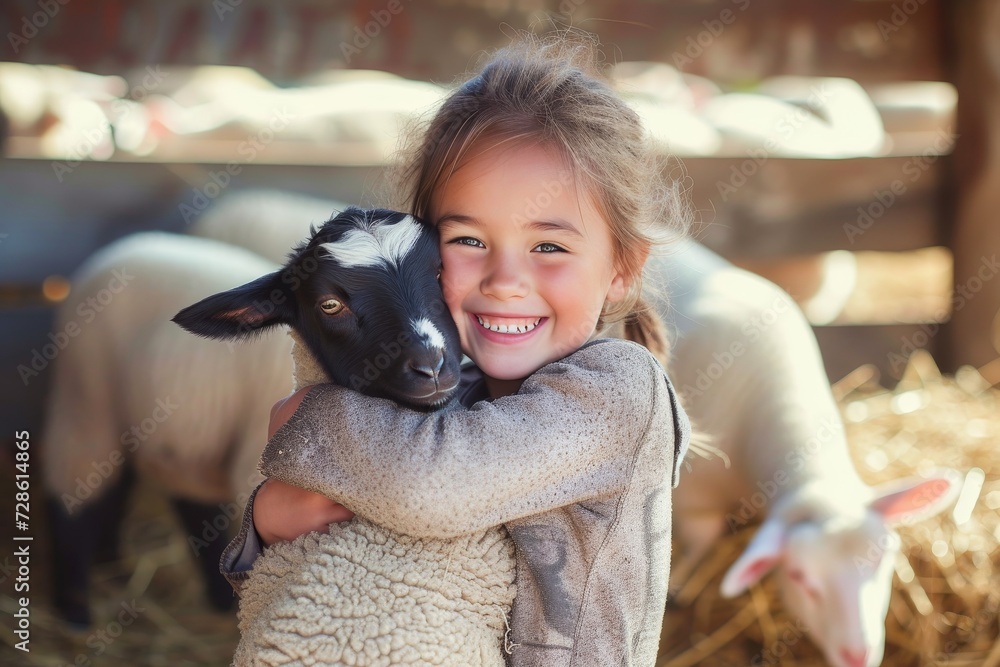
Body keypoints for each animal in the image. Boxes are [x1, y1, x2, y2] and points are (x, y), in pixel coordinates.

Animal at [615, 239, 960, 667]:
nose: (858, 655)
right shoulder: (694, 500)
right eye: (799, 577)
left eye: (886, 558)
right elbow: (699, 537)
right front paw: (675, 584)